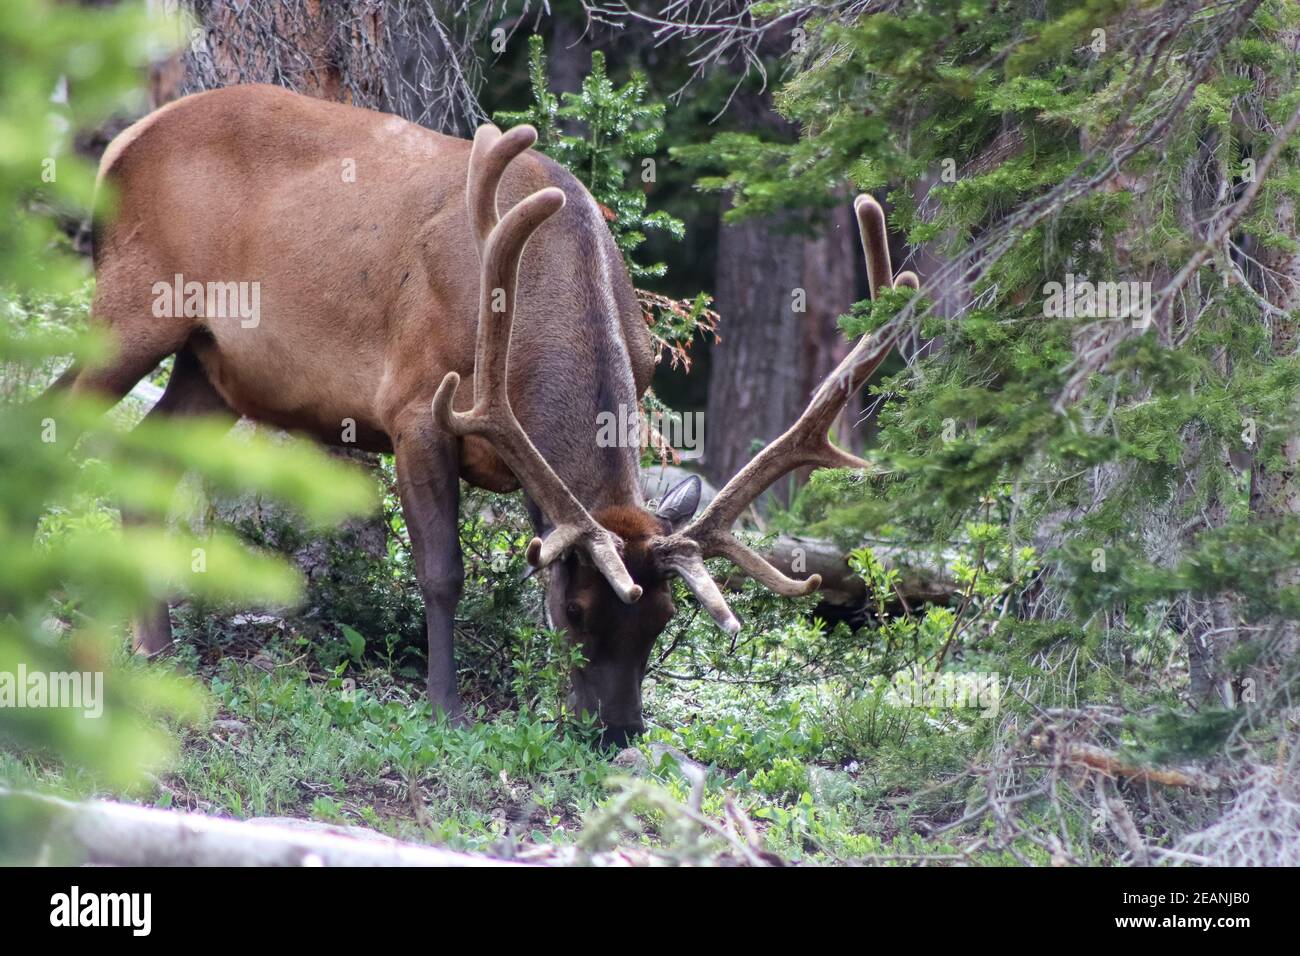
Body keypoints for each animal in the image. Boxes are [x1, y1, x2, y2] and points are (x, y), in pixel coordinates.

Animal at [64, 84, 917, 748]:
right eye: (578, 611)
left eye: (662, 619)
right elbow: (443, 570)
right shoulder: (417, 405)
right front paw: (444, 706)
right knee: (58, 411)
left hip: (214, 366)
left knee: (144, 455)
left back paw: (156, 646)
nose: (617, 732)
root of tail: (120, 146)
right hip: (133, 304)